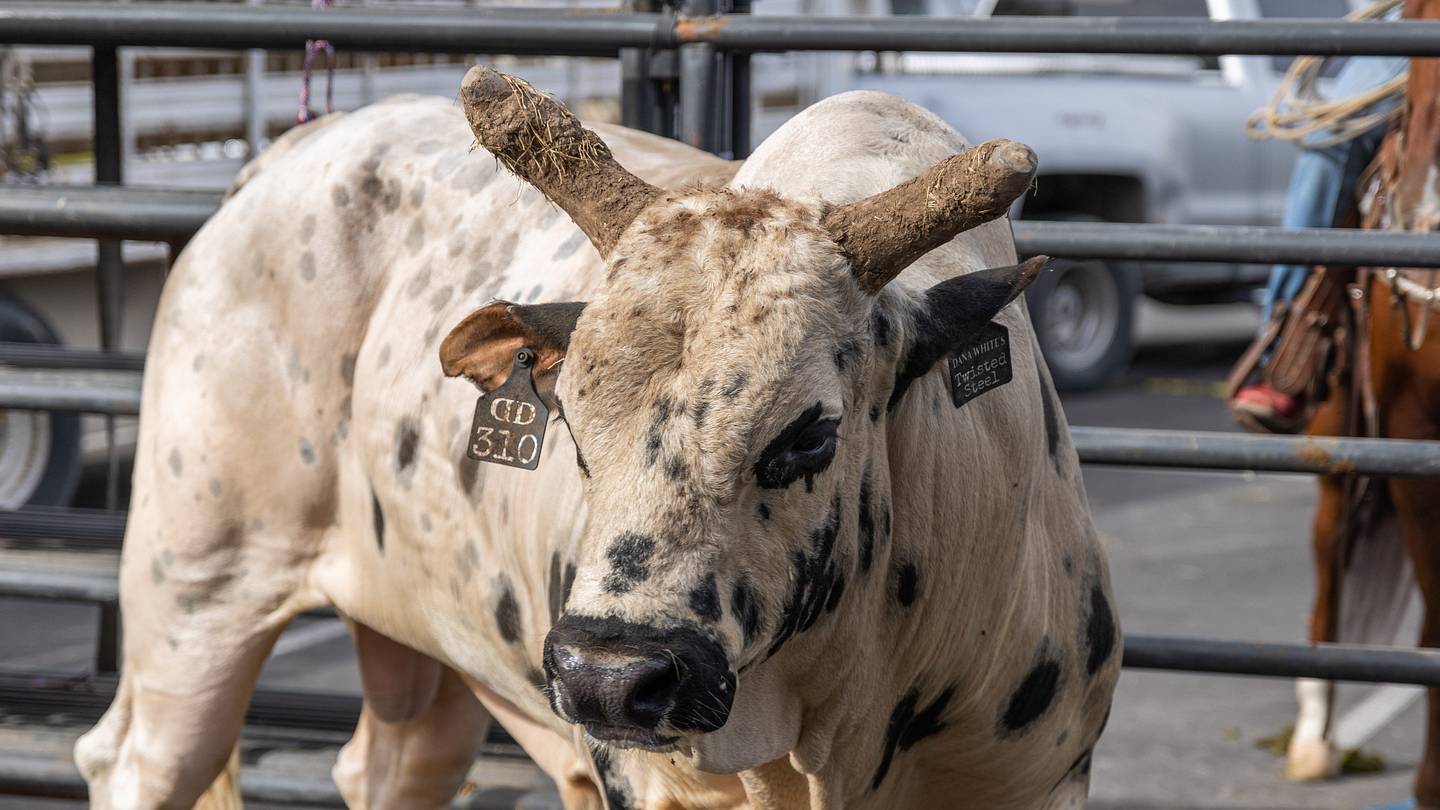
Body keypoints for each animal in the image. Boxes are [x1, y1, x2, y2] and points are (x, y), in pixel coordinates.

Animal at [73, 66, 1119, 810]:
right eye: (569, 416)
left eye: (811, 434)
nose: (613, 680)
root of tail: (292, 151)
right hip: (195, 594)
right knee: (134, 760)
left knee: (394, 765)